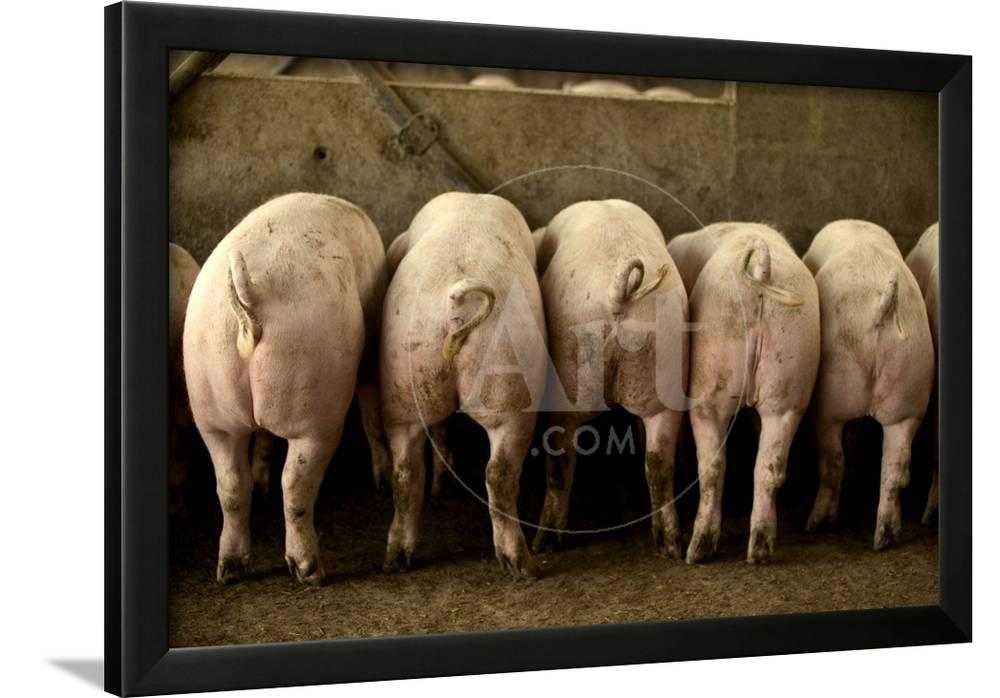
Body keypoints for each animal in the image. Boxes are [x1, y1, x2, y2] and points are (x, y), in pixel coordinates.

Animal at [183, 193, 389, 585]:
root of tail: (251, 298)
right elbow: (372, 407)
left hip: (208, 398)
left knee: (231, 486)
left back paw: (230, 569)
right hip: (315, 402)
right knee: (295, 485)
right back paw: (311, 572)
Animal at [380, 192, 546, 579]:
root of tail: (456, 303)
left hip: (403, 382)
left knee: (406, 473)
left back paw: (396, 560)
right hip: (509, 382)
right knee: (499, 474)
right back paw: (524, 566)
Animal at [530, 200, 689, 557]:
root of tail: (619, 293)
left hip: (567, 376)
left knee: (559, 463)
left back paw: (544, 544)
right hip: (665, 366)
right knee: (658, 462)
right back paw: (670, 547)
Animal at [667, 223, 820, 564]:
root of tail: (760, 267)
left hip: (710, 372)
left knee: (711, 467)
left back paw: (696, 553)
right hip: (790, 376)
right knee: (769, 466)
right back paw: (758, 552)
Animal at [803, 220, 934, 550]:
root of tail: (882, 307)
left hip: (831, 397)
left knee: (832, 460)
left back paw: (816, 523)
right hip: (910, 391)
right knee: (896, 468)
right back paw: (884, 539)